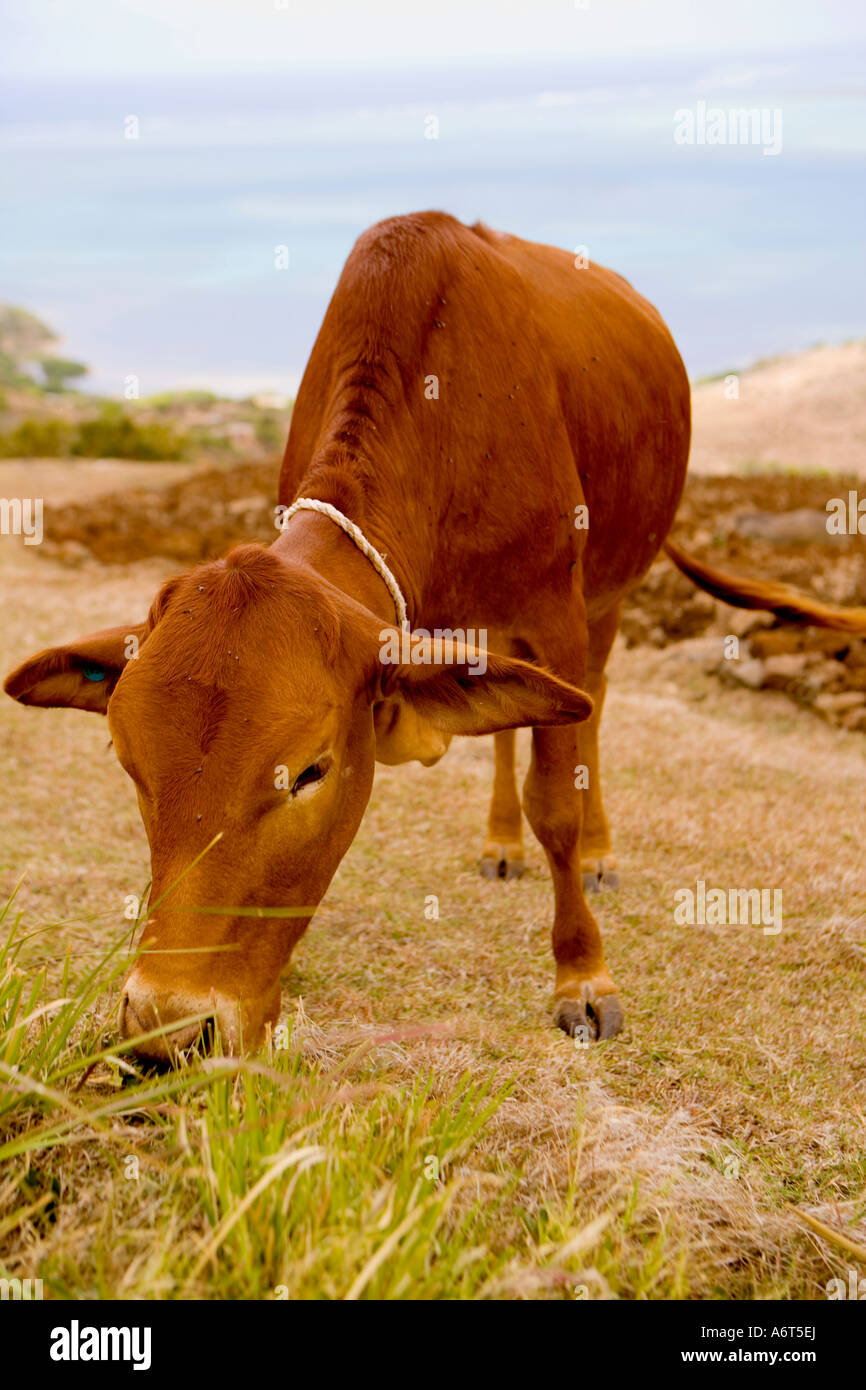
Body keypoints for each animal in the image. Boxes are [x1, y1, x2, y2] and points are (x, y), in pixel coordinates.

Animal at [5, 211, 865, 1060]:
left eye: (310, 772)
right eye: (130, 765)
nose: (166, 1032)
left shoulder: (555, 617)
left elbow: (556, 800)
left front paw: (583, 975)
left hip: (608, 600)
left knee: (591, 710)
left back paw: (597, 850)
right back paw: (501, 842)